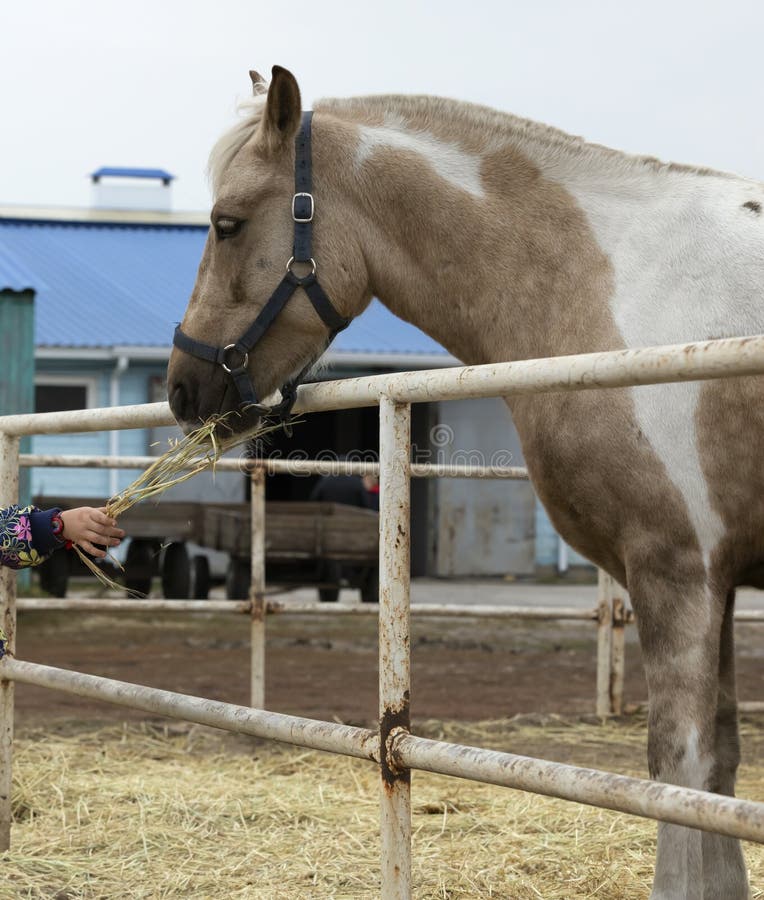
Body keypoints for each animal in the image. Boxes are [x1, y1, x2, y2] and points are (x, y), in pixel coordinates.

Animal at [167, 65, 764, 899]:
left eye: (227, 222)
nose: (182, 387)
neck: (618, 284)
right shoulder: (720, 577)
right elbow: (720, 769)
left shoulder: (677, 570)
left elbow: (681, 772)